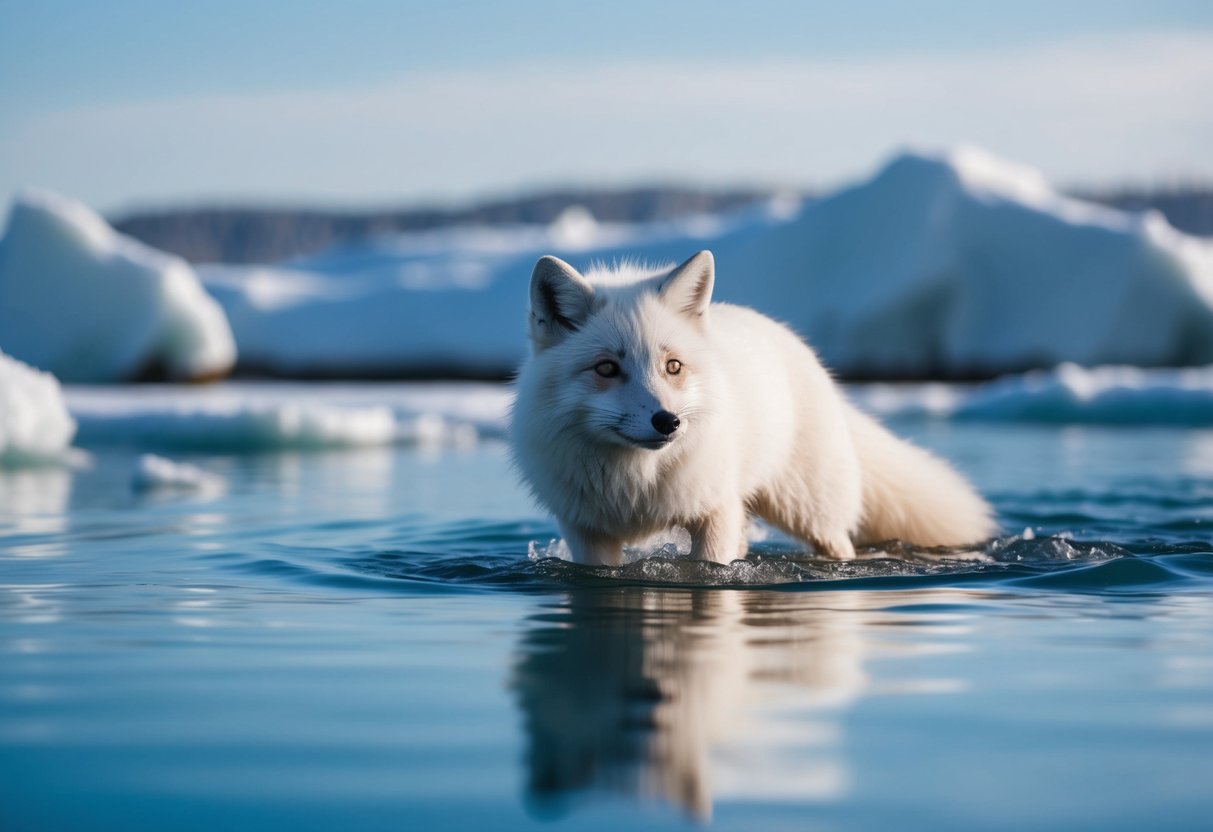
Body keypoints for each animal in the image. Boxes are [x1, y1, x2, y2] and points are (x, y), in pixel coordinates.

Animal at [510, 250, 996, 566]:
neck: (637, 488)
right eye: (607, 368)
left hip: (807, 512)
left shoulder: (714, 514)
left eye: (673, 366)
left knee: (840, 546)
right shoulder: (587, 533)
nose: (668, 422)